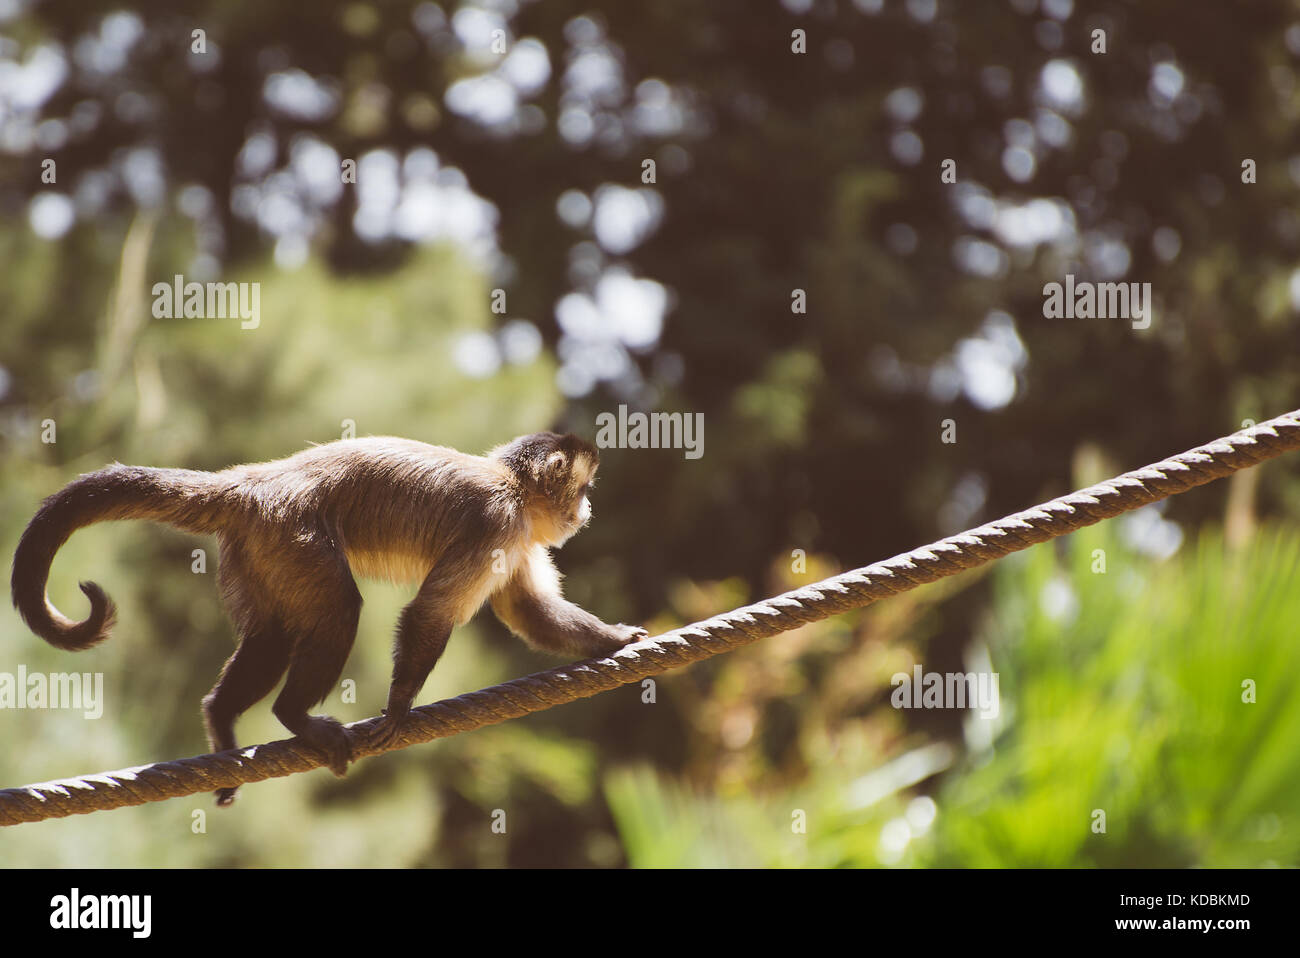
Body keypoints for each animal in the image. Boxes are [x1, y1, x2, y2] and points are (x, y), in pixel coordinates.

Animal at [11, 432, 647, 805]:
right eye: (585, 487)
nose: (587, 508)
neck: (514, 487)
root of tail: (252, 481)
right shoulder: (498, 521)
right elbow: (431, 611)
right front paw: (398, 706)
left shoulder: (518, 537)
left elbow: (529, 611)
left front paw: (613, 641)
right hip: (292, 531)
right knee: (338, 610)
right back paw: (294, 716)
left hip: (256, 547)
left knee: (270, 637)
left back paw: (222, 718)